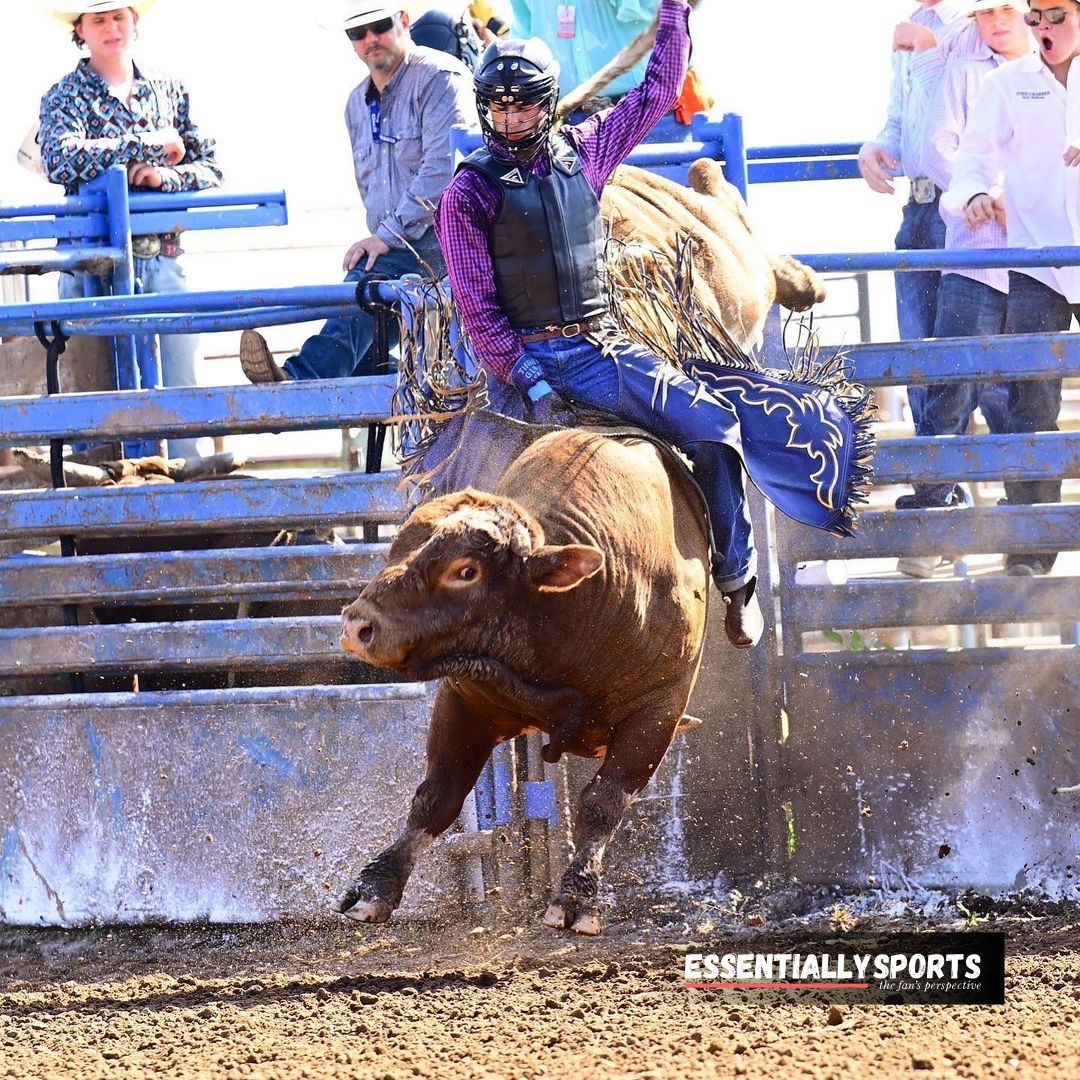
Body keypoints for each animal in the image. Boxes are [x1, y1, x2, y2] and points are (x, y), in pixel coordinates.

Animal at [339, 425, 711, 936]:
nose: (357, 625)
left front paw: (577, 898)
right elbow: (437, 795)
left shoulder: (658, 712)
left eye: (466, 570)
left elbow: (604, 803)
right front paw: (375, 887)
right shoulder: (467, 699)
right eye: (397, 547)